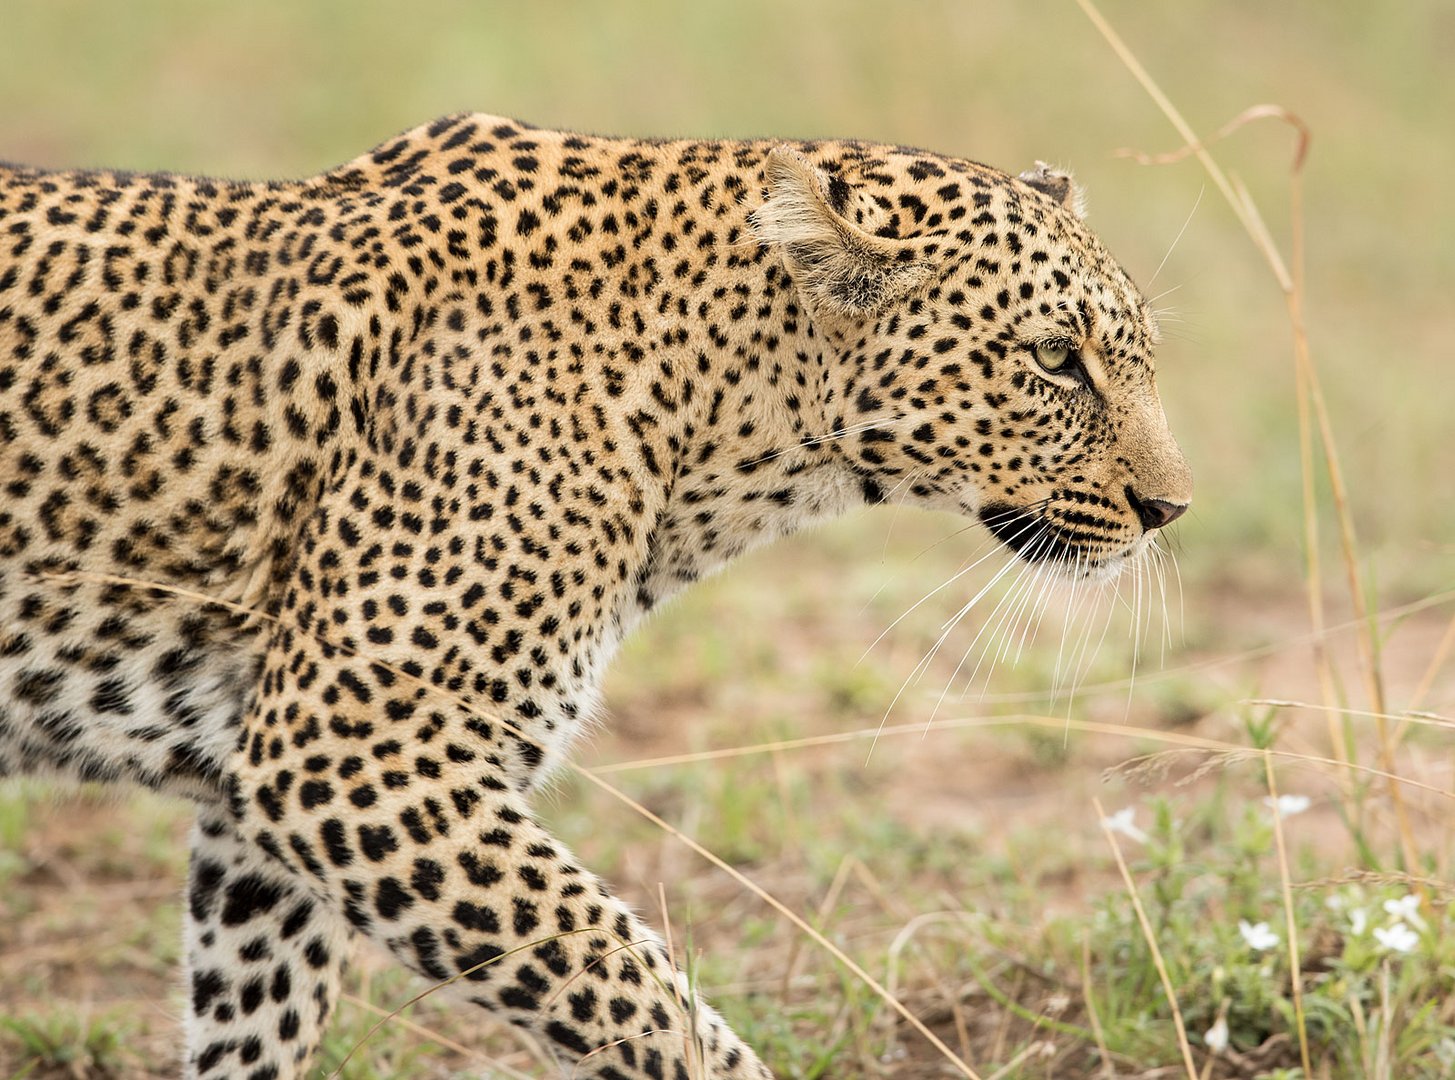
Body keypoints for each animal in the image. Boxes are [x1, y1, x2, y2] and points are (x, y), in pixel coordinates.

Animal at [0, 112, 1191, 1079]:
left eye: (1133, 356)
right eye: (1054, 358)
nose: (1169, 507)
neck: (713, 419)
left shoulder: (263, 800)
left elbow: (255, 1020)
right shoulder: (355, 742)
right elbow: (635, 992)